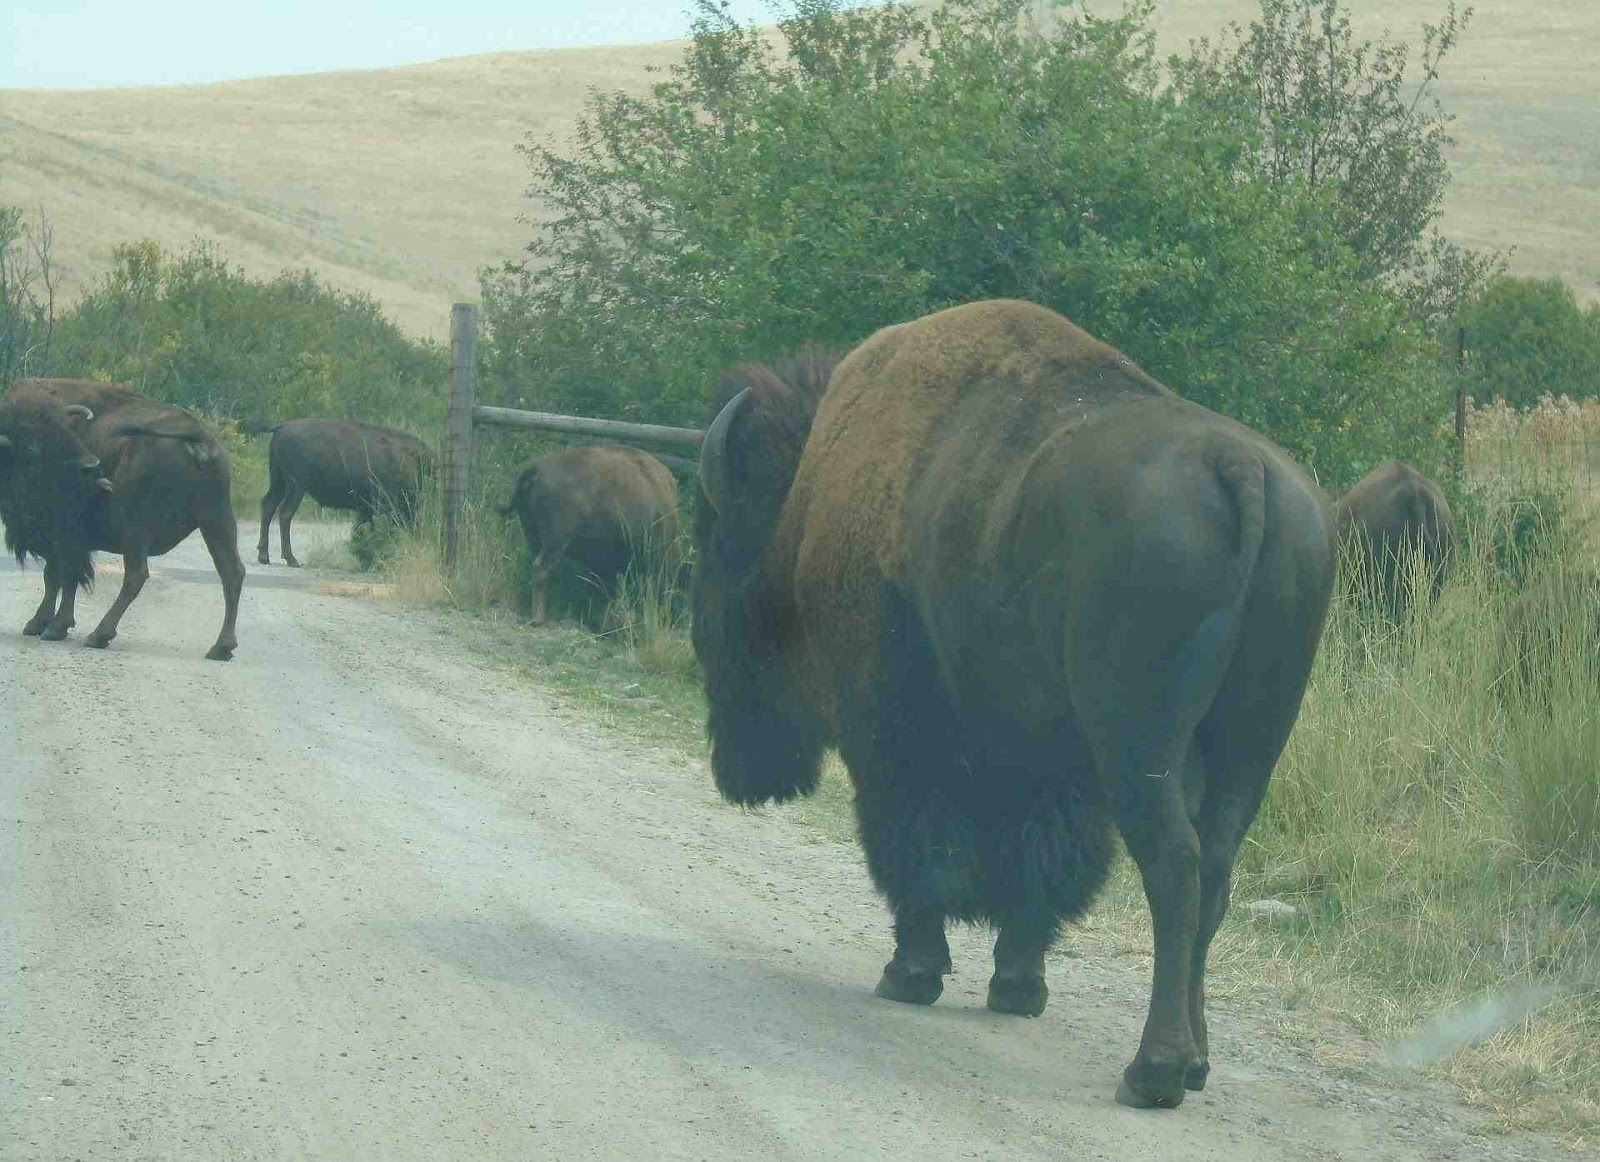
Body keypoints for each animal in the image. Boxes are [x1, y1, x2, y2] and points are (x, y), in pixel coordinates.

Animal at [0, 378, 244, 661]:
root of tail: (199, 436)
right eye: (33, 443)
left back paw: (98, 635)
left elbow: (62, 576)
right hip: (216, 520)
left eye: (69, 429)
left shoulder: (63, 535)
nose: (91, 465)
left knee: (136, 575)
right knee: (231, 572)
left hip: (137, 529)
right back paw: (221, 647)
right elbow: (58, 577)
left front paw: (51, 626)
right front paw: (43, 623)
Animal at [254, 418, 433, 567]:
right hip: (295, 486)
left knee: (268, 505)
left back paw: (264, 556)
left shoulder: (367, 508)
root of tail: (282, 426)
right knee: (285, 513)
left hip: (279, 482)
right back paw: (291, 559)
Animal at [691, 300, 1335, 1109]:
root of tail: (1239, 466)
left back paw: (1150, 1073)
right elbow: (1040, 866)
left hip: (1141, 744)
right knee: (1213, 873)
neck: (805, 503)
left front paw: (910, 973)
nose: (740, 772)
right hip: (1250, 743)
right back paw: (1195, 1063)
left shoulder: (895, 735)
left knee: (1174, 866)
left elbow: (914, 844)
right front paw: (1018, 988)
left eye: (714, 553)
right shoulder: (1053, 765)